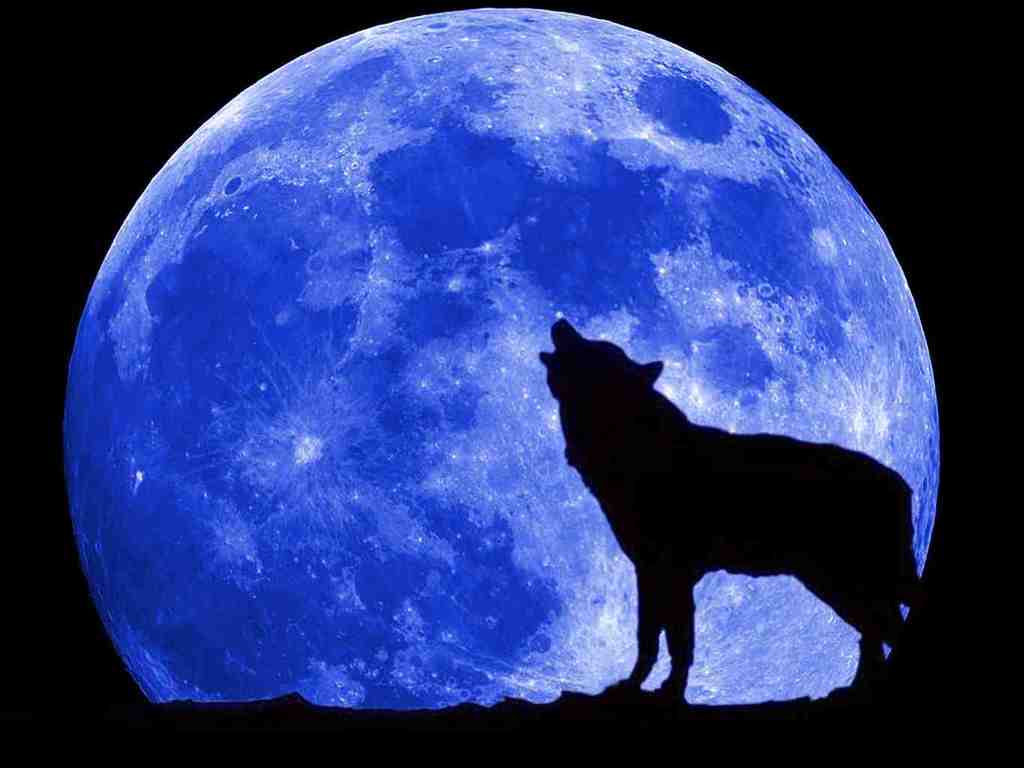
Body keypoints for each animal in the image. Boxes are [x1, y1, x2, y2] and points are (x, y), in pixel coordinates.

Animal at [539, 318, 919, 699]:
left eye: (596, 346)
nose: (560, 321)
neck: (630, 442)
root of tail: (902, 484)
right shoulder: (654, 572)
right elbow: (658, 639)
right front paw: (643, 685)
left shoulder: (668, 571)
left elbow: (671, 642)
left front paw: (665, 691)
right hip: (840, 587)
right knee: (874, 635)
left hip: (839, 584)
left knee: (884, 631)